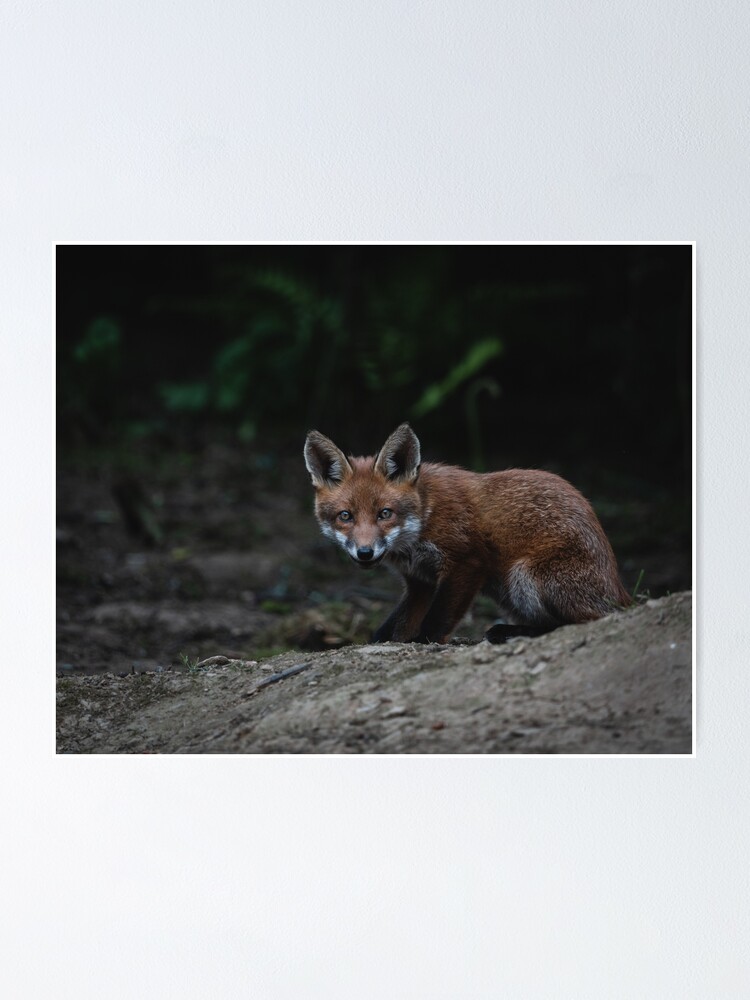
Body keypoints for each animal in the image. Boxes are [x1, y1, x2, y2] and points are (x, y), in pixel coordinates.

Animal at [304, 423, 630, 644]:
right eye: (345, 516)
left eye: (385, 513)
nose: (365, 552)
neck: (424, 520)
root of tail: (620, 590)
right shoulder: (420, 582)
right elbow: (392, 628)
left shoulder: (467, 562)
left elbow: (434, 624)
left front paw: (425, 641)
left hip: (525, 576)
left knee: (587, 621)